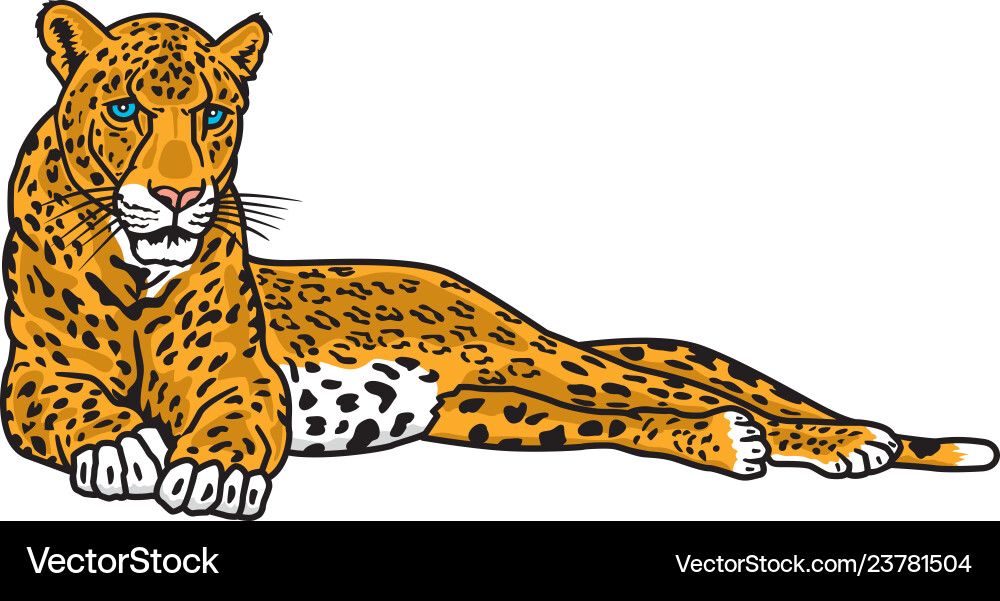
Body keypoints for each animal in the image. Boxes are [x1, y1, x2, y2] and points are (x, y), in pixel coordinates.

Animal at [4, 1, 997, 520]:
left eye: (213, 115)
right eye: (125, 110)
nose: (178, 196)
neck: (139, 271)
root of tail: (476, 293)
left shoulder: (243, 375)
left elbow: (235, 422)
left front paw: (213, 474)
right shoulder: (33, 377)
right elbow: (74, 405)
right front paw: (120, 446)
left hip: (530, 361)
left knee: (690, 385)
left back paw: (848, 441)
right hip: (501, 412)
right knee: (644, 415)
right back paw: (728, 441)